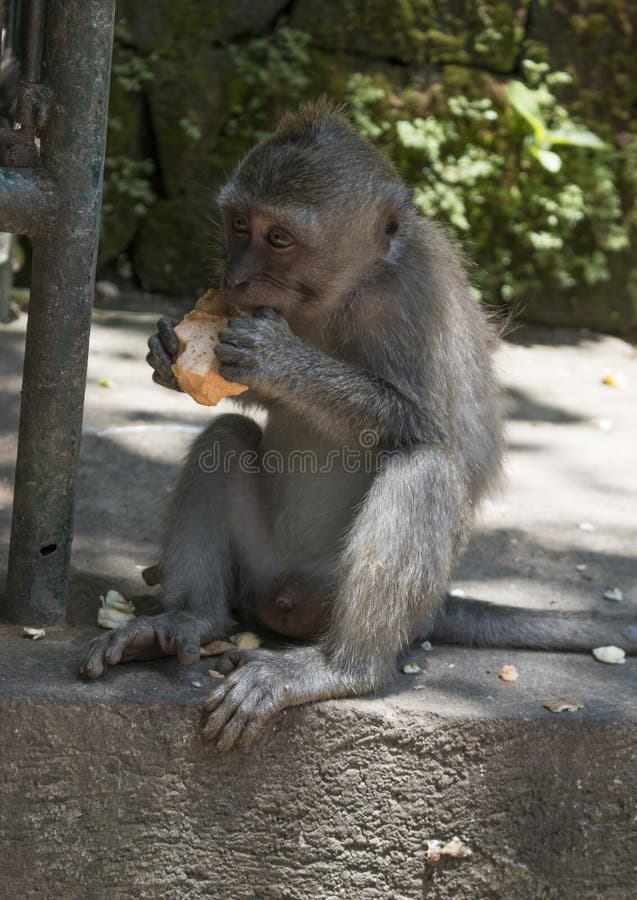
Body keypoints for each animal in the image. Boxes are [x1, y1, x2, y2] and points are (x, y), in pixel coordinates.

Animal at [81, 101, 636, 751]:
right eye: (239, 224)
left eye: (278, 238)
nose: (236, 279)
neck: (337, 298)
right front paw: (168, 355)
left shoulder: (418, 298)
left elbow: (432, 428)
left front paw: (280, 360)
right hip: (260, 565)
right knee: (226, 441)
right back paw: (189, 619)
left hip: (347, 597)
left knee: (424, 465)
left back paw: (340, 668)